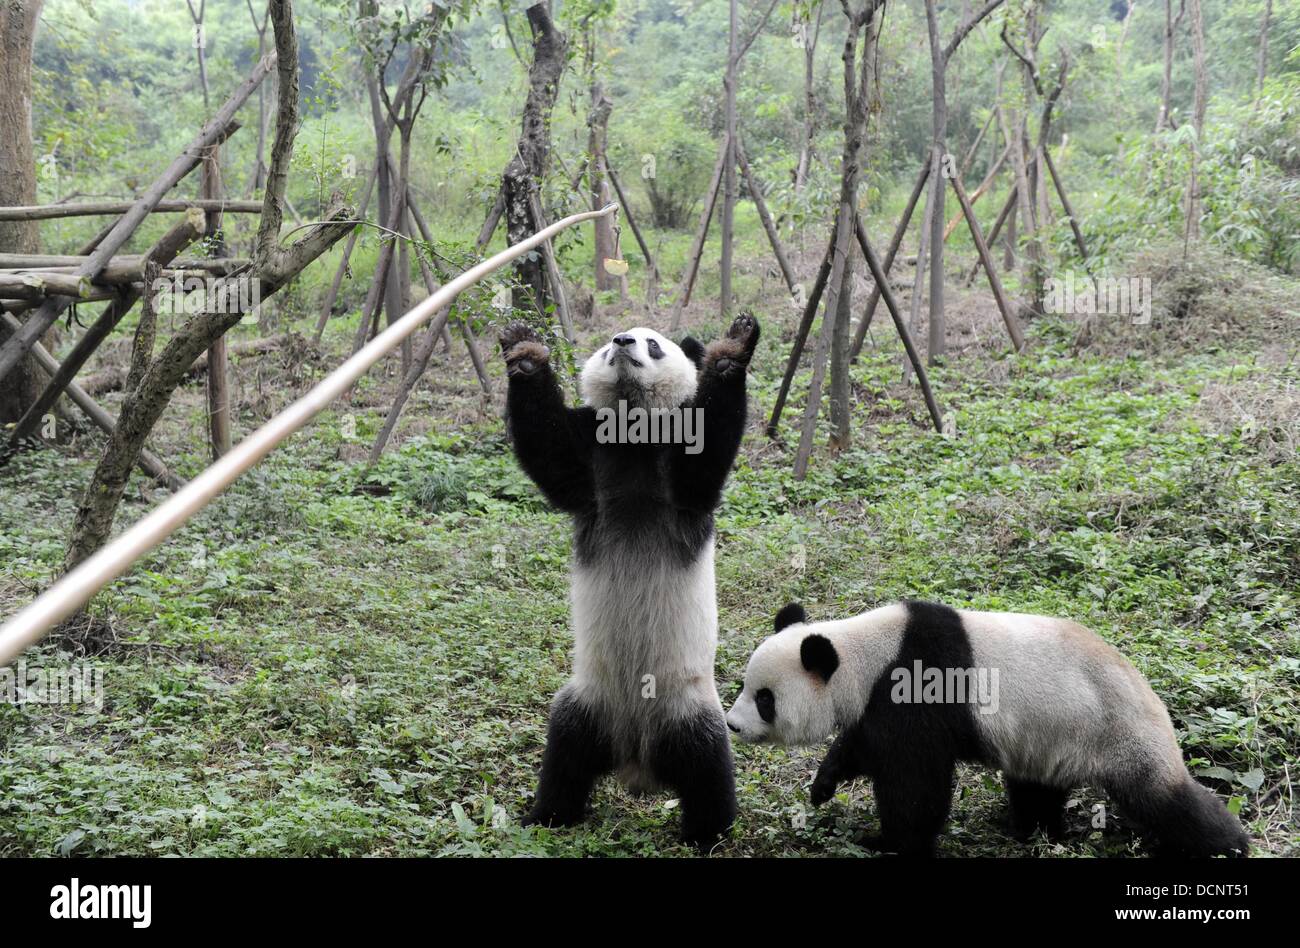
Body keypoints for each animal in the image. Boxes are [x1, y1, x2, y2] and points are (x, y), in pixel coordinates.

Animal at [499, 313, 760, 846]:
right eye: (607, 345)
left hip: (687, 704)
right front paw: (525, 353)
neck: (634, 429)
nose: (621, 343)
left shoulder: (680, 473)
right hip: (587, 702)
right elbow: (552, 457)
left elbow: (704, 463)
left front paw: (730, 351)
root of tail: (637, 761)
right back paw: (546, 817)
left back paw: (708, 833)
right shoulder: (592, 460)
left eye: (653, 344)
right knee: (564, 754)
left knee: (708, 766)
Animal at [726, 600, 1250, 858]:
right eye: (745, 686)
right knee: (1035, 787)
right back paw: (1029, 830)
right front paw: (823, 785)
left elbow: (914, 783)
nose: (732, 724)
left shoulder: (918, 686)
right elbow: (862, 744)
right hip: (1052, 740)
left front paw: (887, 843)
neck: (864, 653)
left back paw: (1230, 846)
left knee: (1164, 800)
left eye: (765, 699)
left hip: (1114, 731)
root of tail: (1152, 699)